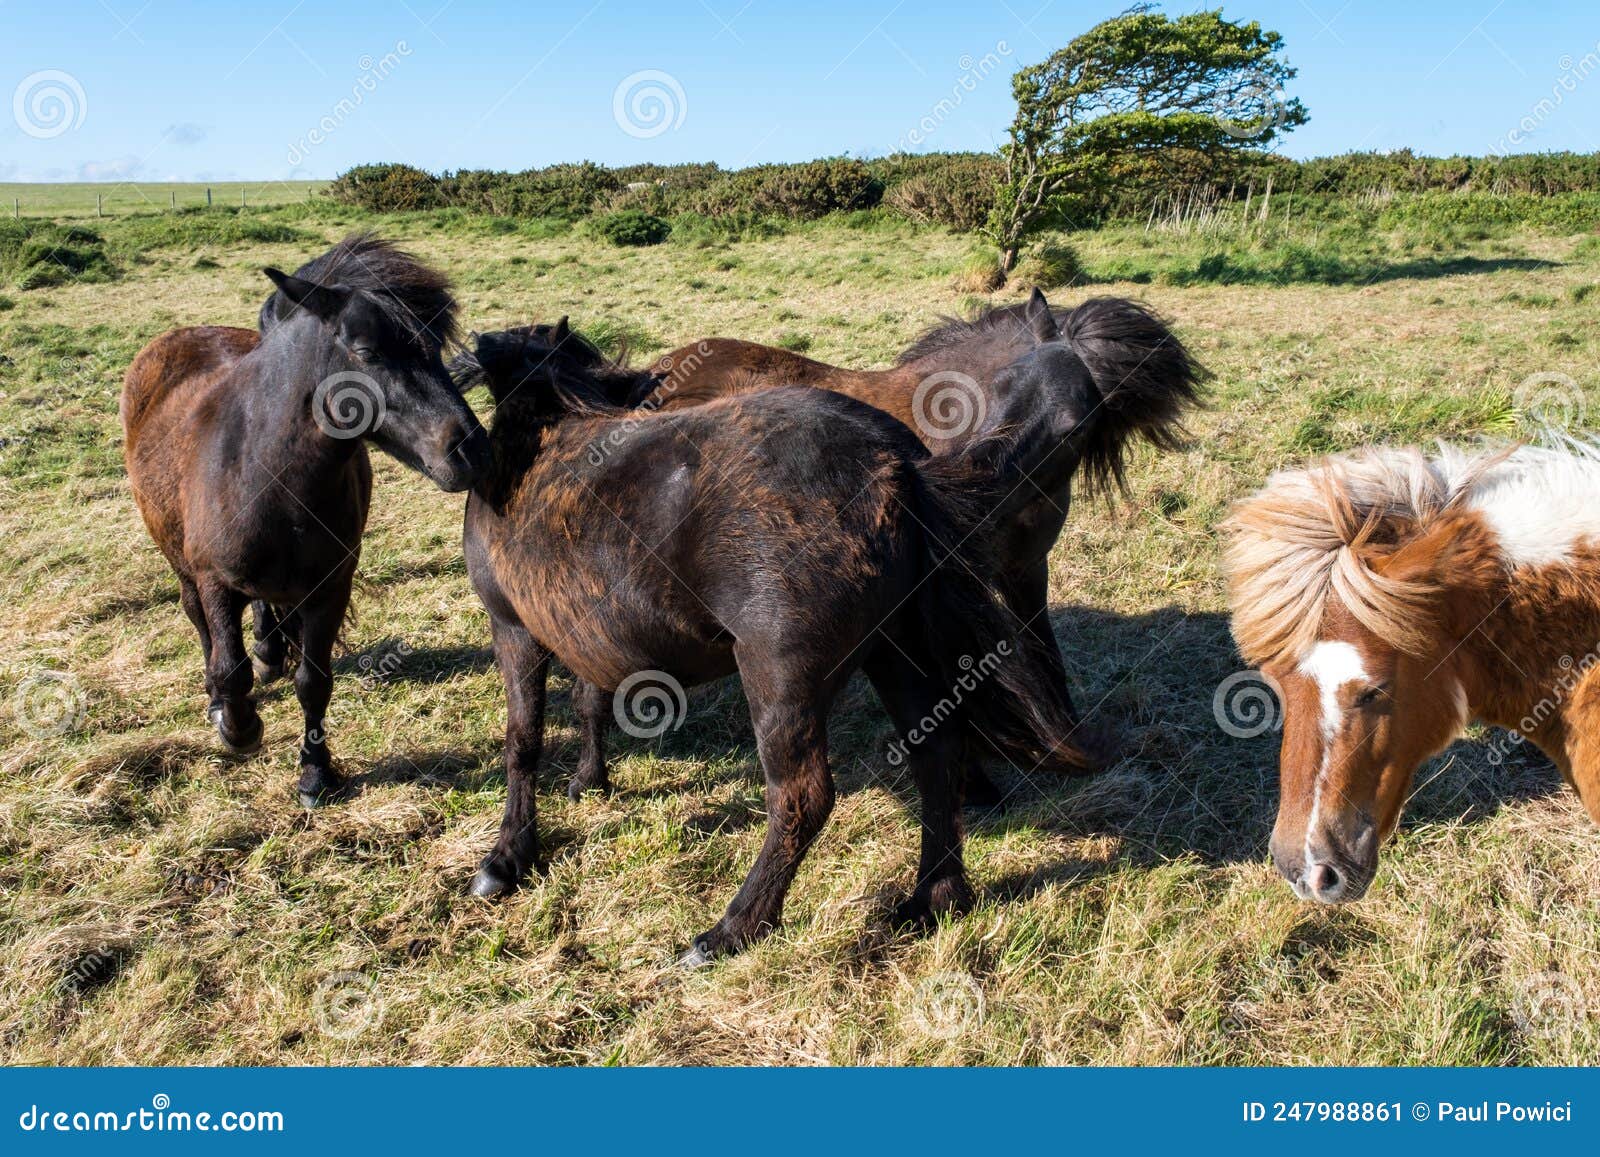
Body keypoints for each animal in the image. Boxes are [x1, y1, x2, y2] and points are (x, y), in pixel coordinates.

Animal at [121, 234, 490, 807]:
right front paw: (238, 727)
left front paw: (316, 774)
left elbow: (314, 682)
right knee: (199, 623)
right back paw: (219, 700)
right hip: (181, 563)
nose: (471, 451)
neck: (263, 469)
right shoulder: (215, 580)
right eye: (367, 352)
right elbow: (229, 667)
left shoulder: (329, 588)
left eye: (435, 348)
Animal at [451, 323, 1104, 964]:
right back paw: (933, 899)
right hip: (897, 655)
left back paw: (734, 928)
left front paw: (507, 858)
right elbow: (589, 701)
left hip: (779, 675)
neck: (539, 441)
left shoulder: (512, 629)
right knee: (937, 758)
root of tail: (892, 465)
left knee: (802, 797)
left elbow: (523, 741)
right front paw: (590, 781)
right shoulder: (586, 633)